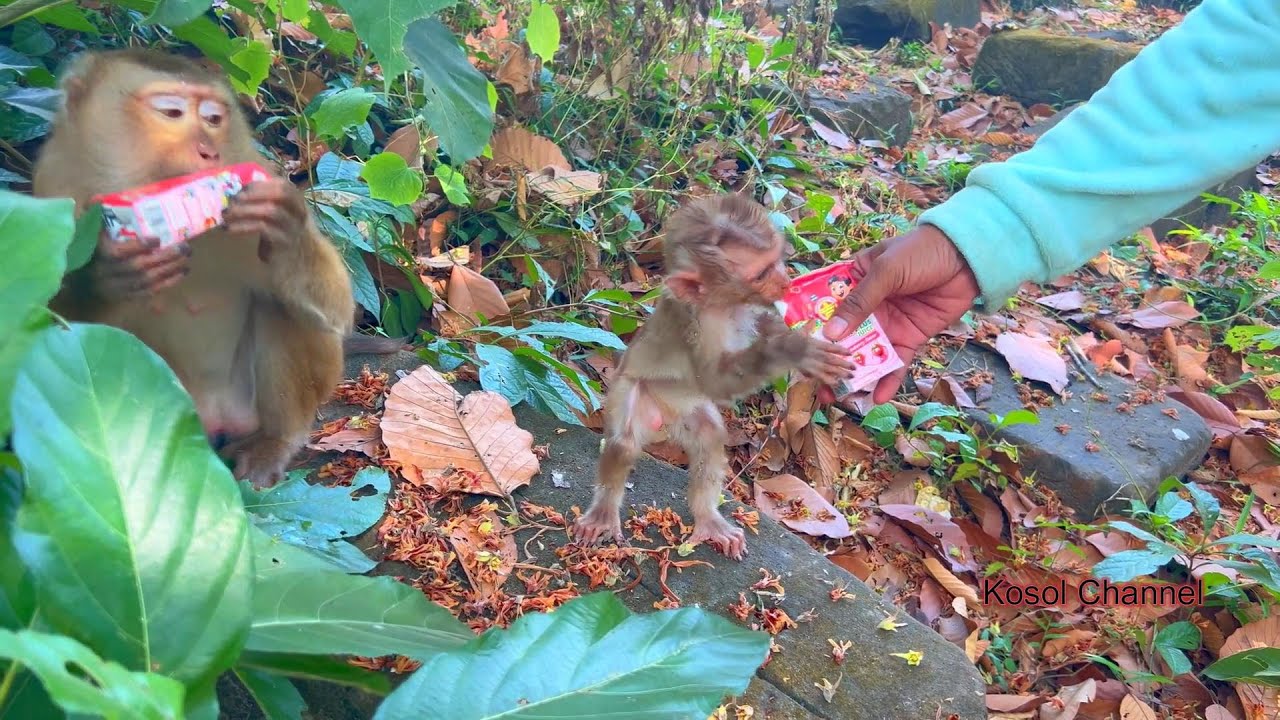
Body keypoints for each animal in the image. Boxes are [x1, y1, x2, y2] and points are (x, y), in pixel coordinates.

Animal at [32, 48, 359, 488]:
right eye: (171, 112)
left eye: (213, 119)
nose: (208, 152)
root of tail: (217, 418)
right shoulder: (56, 184)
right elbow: (48, 324)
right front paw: (107, 277)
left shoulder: (254, 167)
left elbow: (337, 314)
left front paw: (285, 232)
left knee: (283, 307)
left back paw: (274, 441)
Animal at [571, 194, 853, 559]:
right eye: (761, 274)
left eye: (777, 261)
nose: (787, 282)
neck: (724, 307)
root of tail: (662, 418)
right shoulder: (696, 329)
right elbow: (714, 382)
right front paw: (794, 348)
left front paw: (788, 328)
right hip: (630, 390)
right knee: (623, 443)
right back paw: (604, 514)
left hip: (684, 409)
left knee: (708, 436)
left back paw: (708, 517)